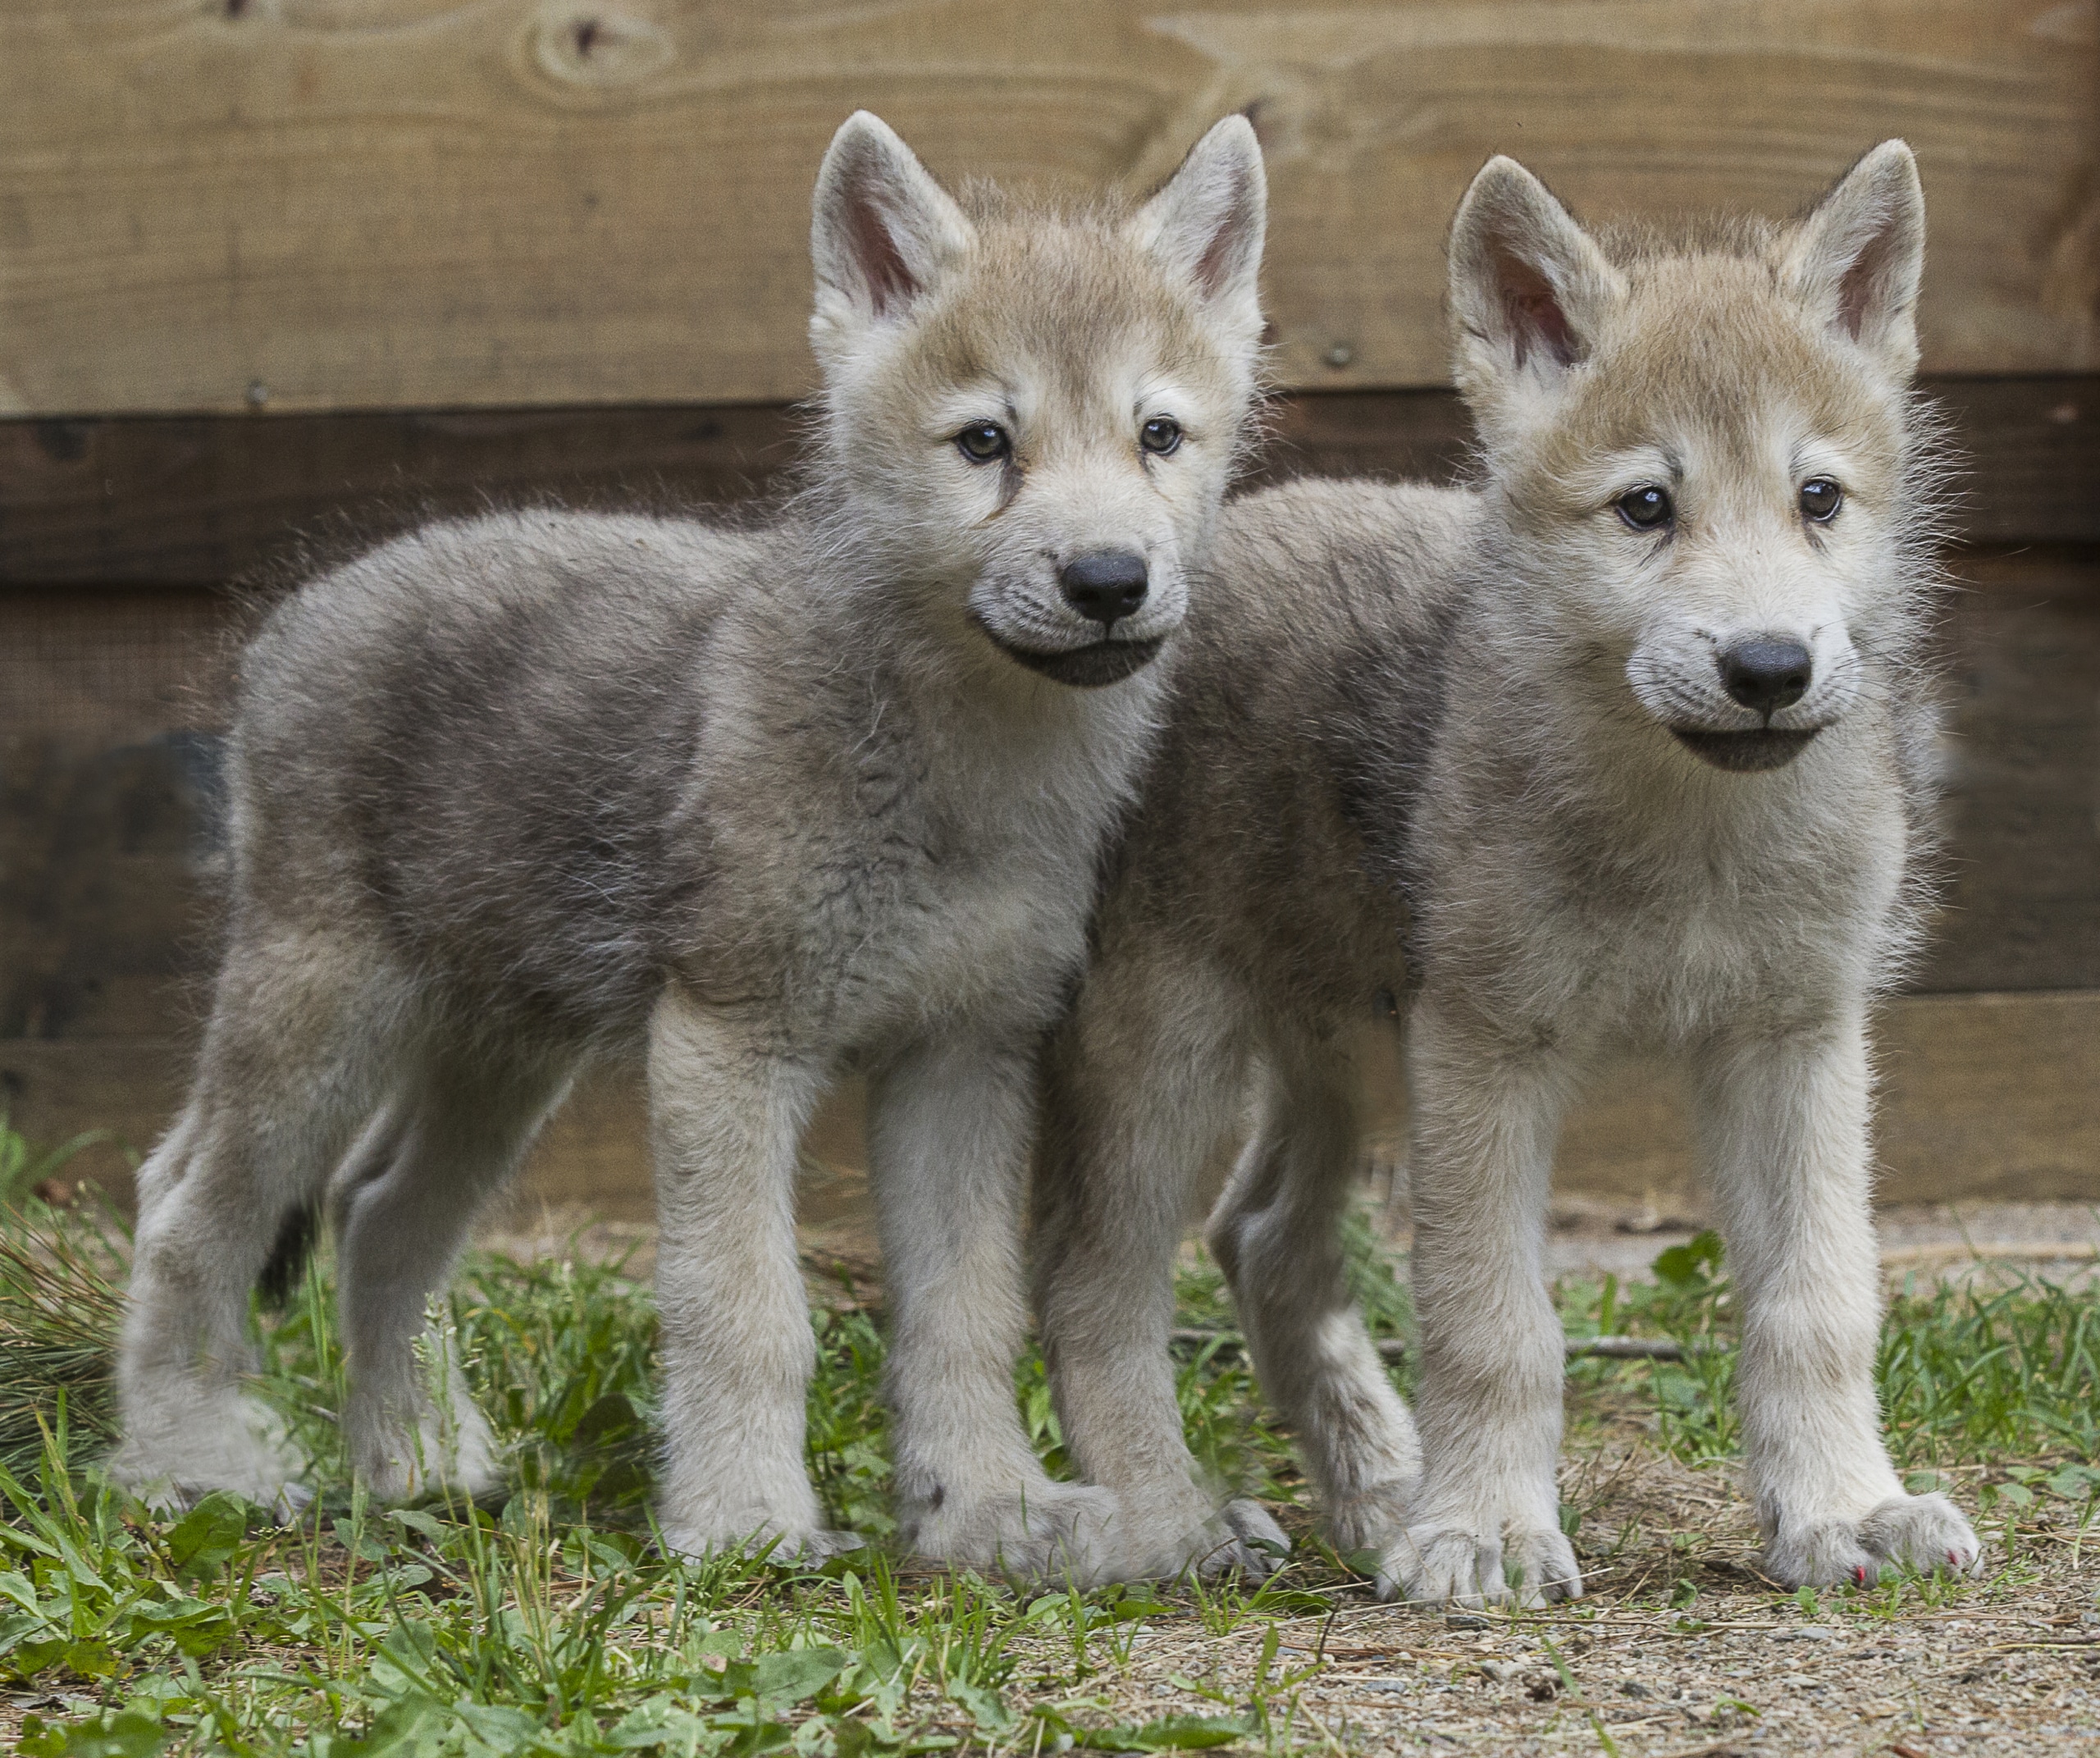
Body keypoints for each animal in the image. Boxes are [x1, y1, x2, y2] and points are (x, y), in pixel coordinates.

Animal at [109, 109, 1268, 1577]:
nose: (1110, 580)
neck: (964, 778)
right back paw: (186, 1461)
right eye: (985, 442)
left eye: (1158, 433)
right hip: (321, 1022)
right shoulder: (729, 1040)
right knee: (179, 1203)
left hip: (501, 1048)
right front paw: (741, 1522)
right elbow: (746, 1310)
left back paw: (412, 1463)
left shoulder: (960, 1054)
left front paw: (985, 1510)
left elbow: (964, 1314)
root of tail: (295, 616)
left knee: (378, 1214)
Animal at [1033, 142, 1983, 1602]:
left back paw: (1379, 1492)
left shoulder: (1796, 1040)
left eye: (1818, 499)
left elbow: (1815, 1303)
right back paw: (1172, 1524)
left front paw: (1845, 1508)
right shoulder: (1489, 1047)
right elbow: (1495, 1319)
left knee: (1267, 1243)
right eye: (1647, 506)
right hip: (1174, 1052)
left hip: (1353, 1043)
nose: (1769, 669)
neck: (1686, 836)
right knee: (1093, 1285)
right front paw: (1486, 1526)